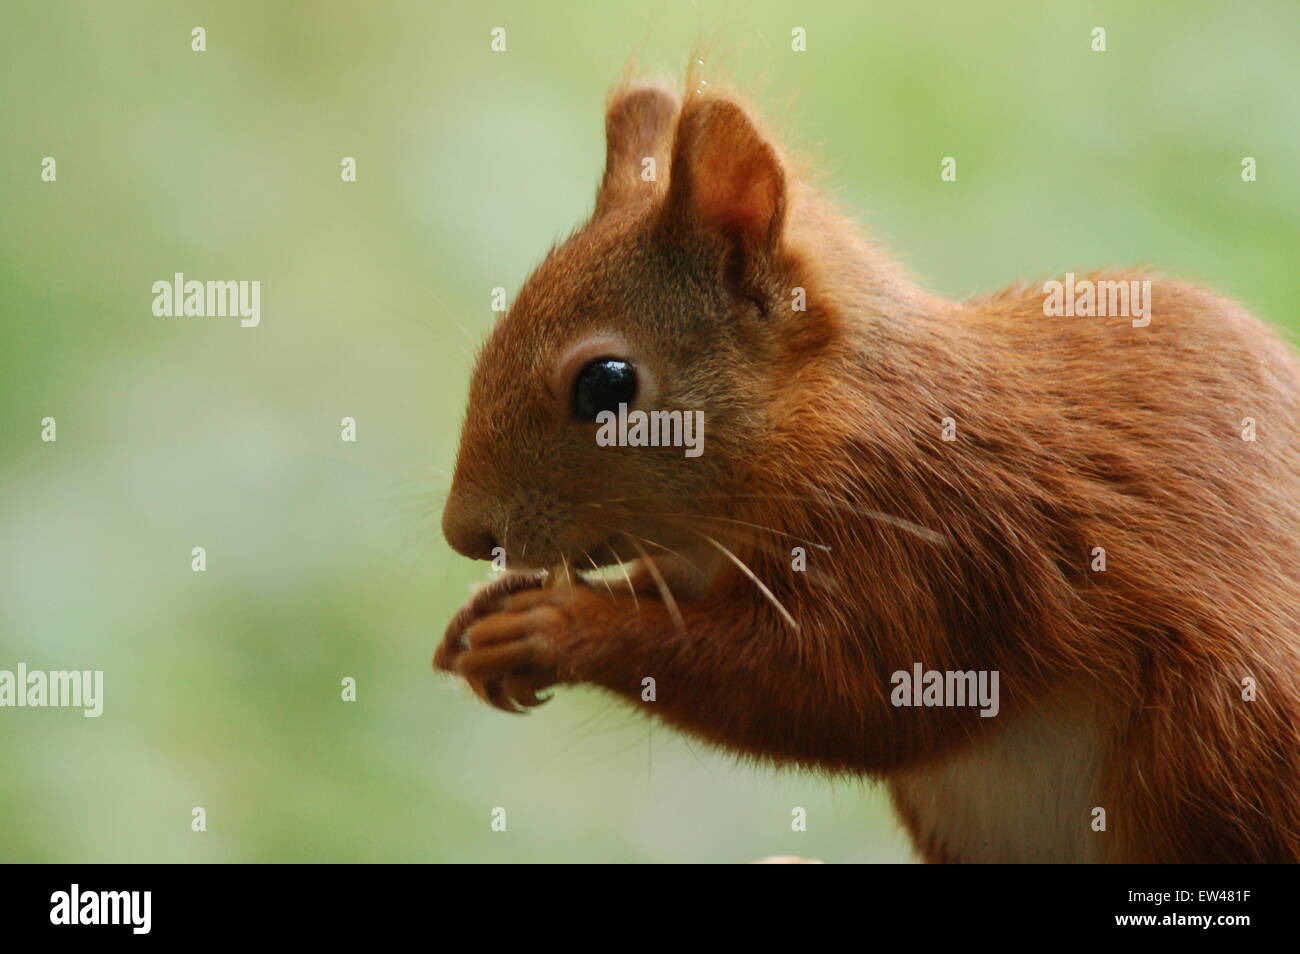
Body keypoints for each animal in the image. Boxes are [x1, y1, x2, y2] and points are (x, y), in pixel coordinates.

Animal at [434, 70, 1300, 863]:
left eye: (605, 385)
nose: (464, 535)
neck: (828, 416)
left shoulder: (938, 543)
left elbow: (841, 692)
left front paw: (554, 624)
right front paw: (489, 613)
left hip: (1216, 738)